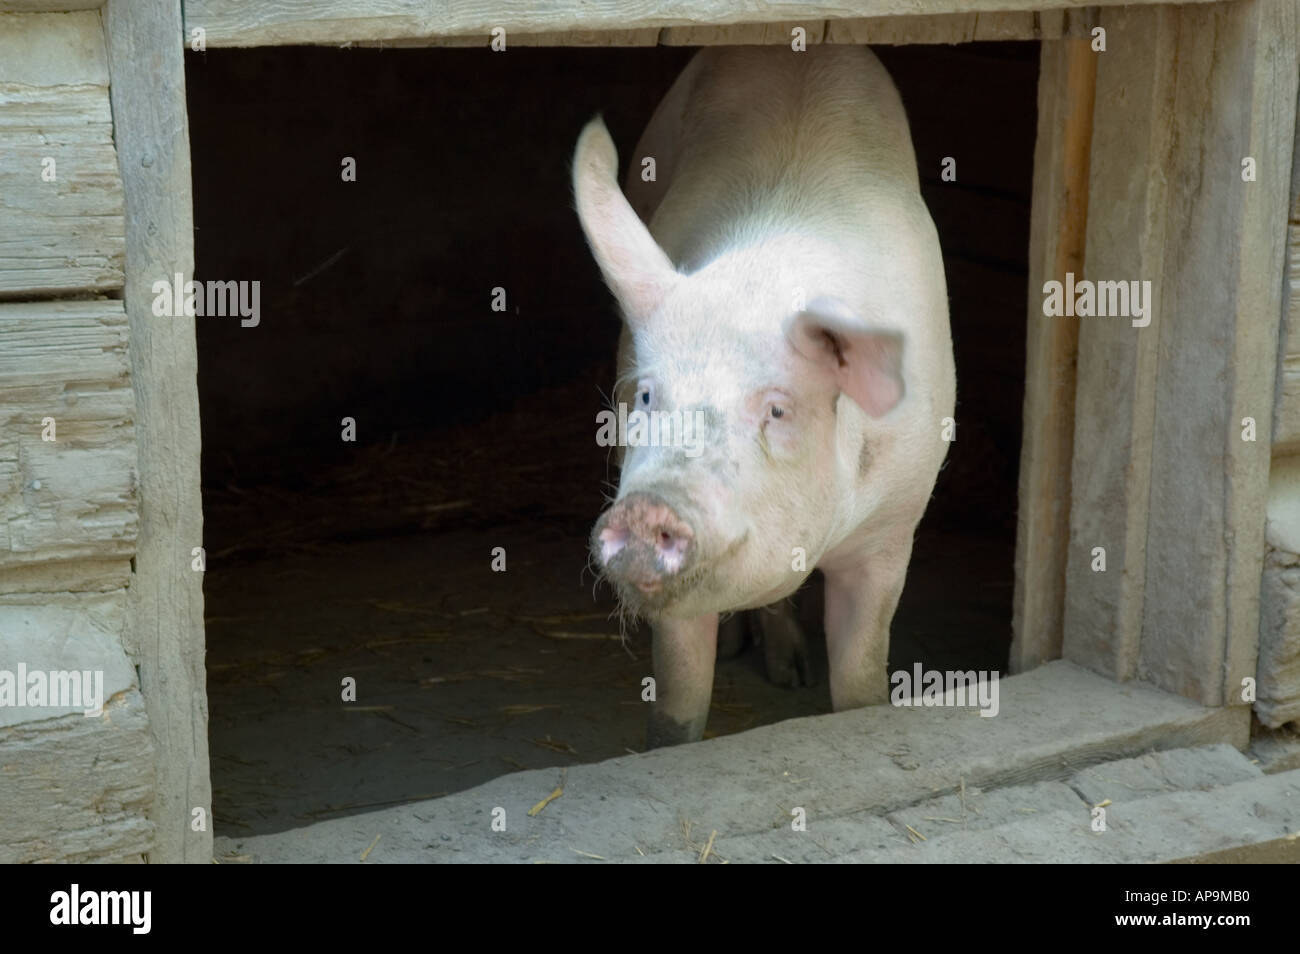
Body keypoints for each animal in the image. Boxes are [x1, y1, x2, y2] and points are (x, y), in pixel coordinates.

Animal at [573, 45, 955, 748]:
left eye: (777, 409)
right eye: (647, 396)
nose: (645, 508)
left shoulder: (893, 529)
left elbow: (862, 674)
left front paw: (833, 698)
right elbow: (679, 702)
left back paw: (792, 675)